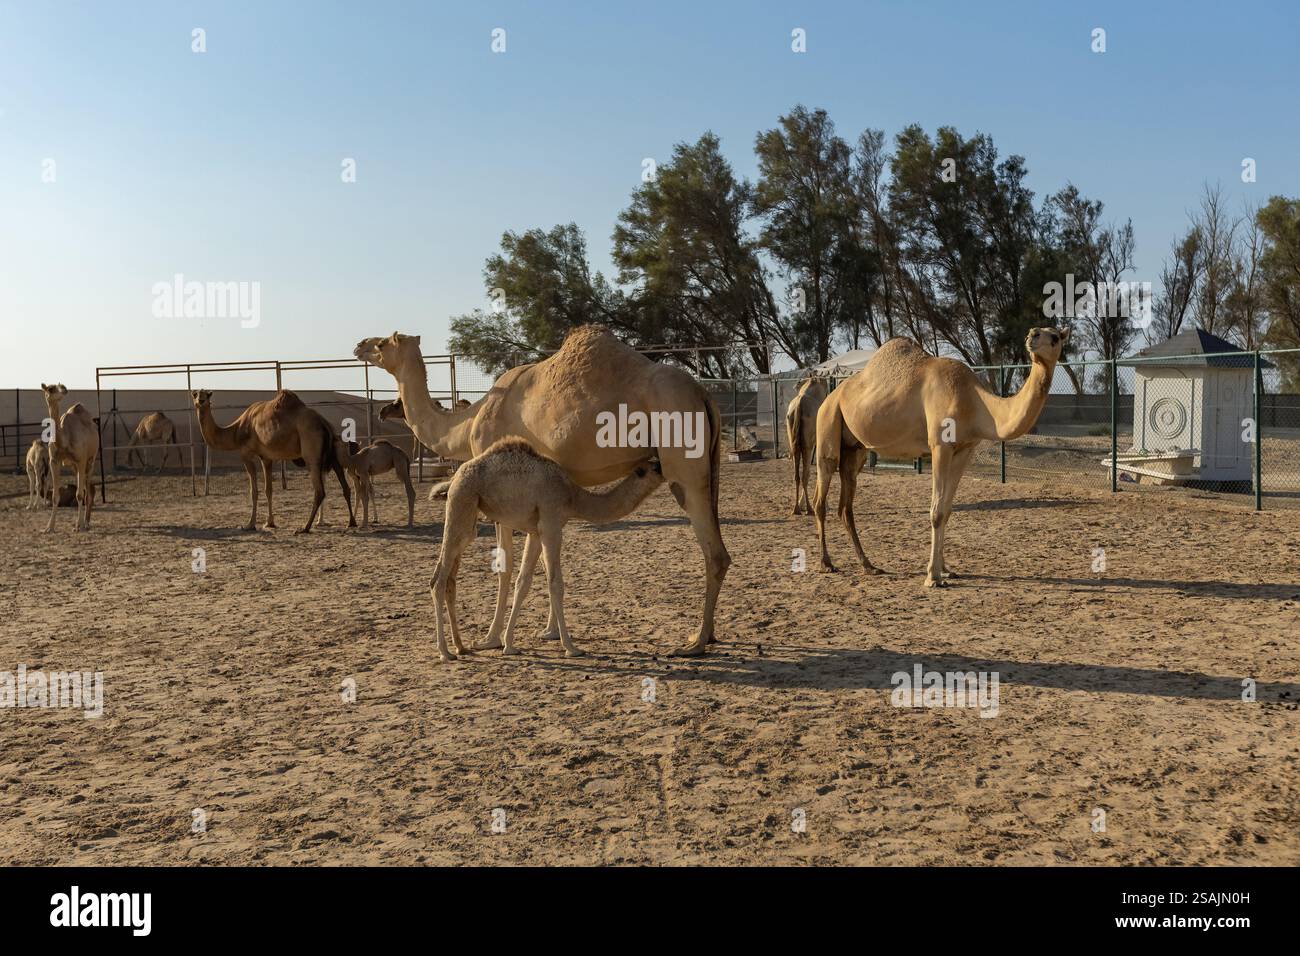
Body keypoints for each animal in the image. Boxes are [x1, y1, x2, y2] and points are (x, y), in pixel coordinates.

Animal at [41, 384, 99, 532]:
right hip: (74, 466)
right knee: (87, 488)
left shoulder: (81, 459)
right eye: (50, 389)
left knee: (88, 491)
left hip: (91, 460)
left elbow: (79, 495)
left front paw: (79, 526)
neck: (64, 439)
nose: (64, 388)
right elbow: (55, 496)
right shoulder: (54, 461)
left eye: (59, 385)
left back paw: (86, 523)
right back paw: (83, 522)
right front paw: (49, 527)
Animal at [190, 389, 355, 533]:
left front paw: (249, 524)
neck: (236, 431)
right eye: (195, 394)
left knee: (319, 491)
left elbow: (254, 491)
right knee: (345, 486)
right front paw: (269, 523)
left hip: (311, 453)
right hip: (333, 454)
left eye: (207, 395)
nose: (201, 401)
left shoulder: (246, 454)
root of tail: (324, 424)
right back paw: (351, 522)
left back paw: (304, 528)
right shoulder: (266, 457)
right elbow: (268, 489)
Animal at [431, 438, 664, 662]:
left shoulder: (536, 532)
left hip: (469, 519)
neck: (572, 497)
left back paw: (461, 647)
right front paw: (570, 647)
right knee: (438, 580)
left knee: (450, 578)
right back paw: (445, 652)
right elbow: (555, 583)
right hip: (461, 501)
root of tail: (453, 479)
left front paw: (509, 644)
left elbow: (523, 582)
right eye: (652, 468)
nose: (662, 465)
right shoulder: (551, 524)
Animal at [785, 375, 828, 515]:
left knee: (797, 476)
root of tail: (799, 406)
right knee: (805, 474)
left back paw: (796, 508)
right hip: (807, 446)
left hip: (796, 445)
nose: (796, 383)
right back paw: (809, 508)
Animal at [812, 327, 1069, 586]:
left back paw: (869, 566)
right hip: (828, 424)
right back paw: (827, 563)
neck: (975, 402)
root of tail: (831, 395)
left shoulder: (964, 449)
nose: (1032, 335)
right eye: (1039, 333)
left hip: (855, 449)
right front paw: (932, 576)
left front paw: (946, 569)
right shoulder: (940, 445)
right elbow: (936, 511)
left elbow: (946, 510)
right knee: (821, 495)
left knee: (845, 505)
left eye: (1055, 337)